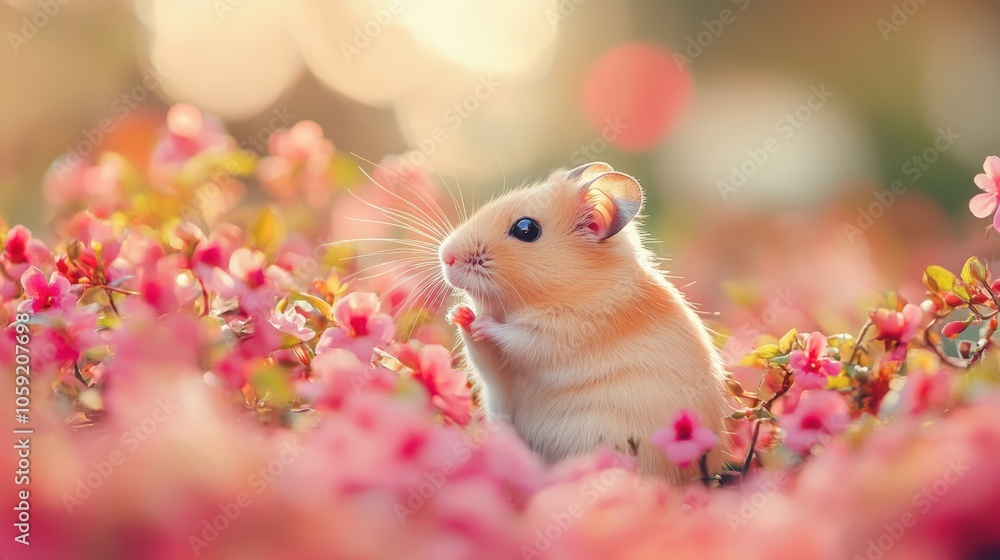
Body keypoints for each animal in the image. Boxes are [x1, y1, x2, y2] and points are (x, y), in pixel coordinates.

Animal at [438, 161, 730, 484]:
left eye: (526, 229)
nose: (445, 257)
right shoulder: (497, 373)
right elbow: (482, 354)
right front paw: (460, 314)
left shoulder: (564, 332)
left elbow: (516, 336)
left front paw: (480, 323)